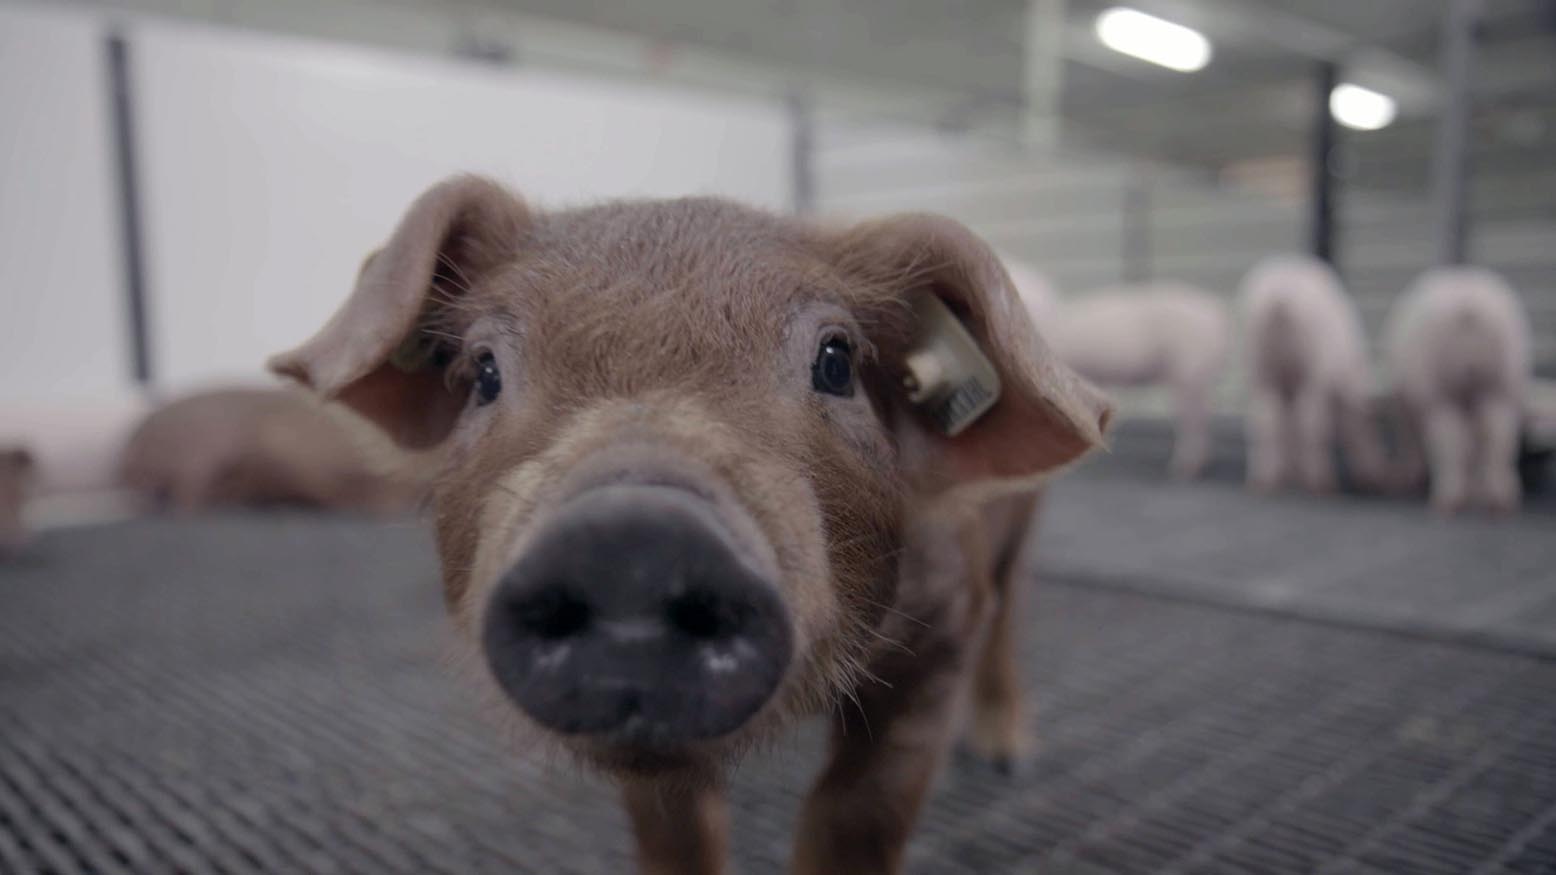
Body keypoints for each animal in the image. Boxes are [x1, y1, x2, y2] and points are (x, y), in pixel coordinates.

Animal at [270, 176, 1111, 875]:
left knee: (1011, 611)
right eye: (483, 372)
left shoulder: (943, 622)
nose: (630, 538)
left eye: (836, 361)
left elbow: (856, 813)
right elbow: (675, 832)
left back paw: (1003, 753)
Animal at [1239, 254, 1389, 494]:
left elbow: (1288, 423)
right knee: (1309, 419)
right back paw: (1322, 484)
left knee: (1263, 418)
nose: (1380, 479)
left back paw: (1261, 483)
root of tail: (1279, 297)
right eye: (1370, 428)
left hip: (1256, 360)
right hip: (1310, 364)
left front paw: (1289, 473)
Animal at [1383, 266, 1532, 514]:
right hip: (1500, 383)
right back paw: (1499, 497)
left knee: (1451, 441)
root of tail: (1467, 308)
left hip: (1442, 390)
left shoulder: (1410, 405)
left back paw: (1450, 497)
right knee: (1497, 436)